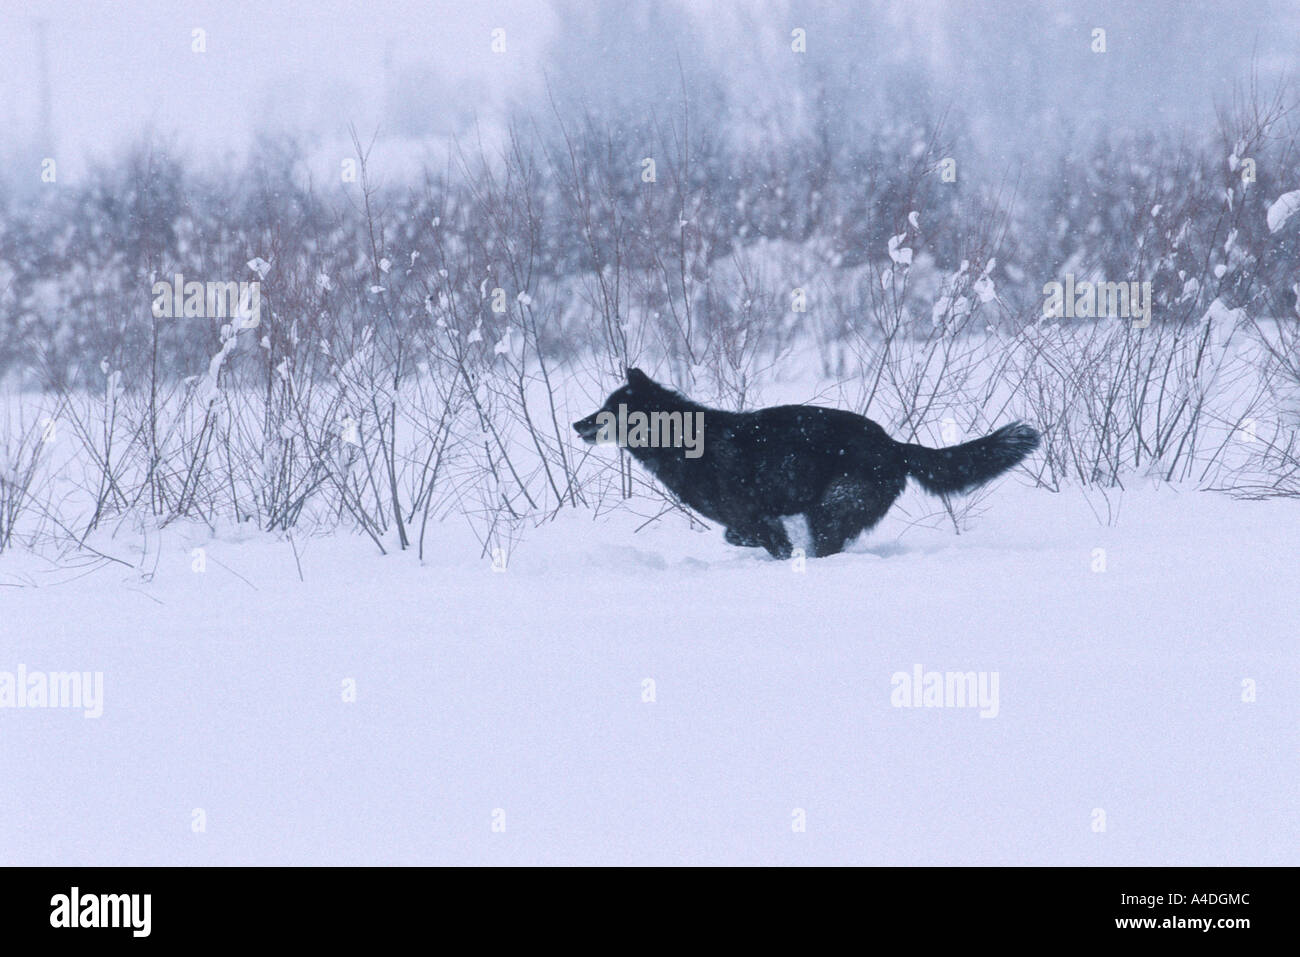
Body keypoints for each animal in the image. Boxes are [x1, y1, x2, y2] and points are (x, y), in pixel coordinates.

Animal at [573, 368, 1040, 558]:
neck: (686, 441)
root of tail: (894, 445)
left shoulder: (756, 516)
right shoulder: (754, 519)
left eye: (608, 411)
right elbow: (738, 537)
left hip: (831, 509)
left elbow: (760, 540)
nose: (577, 423)